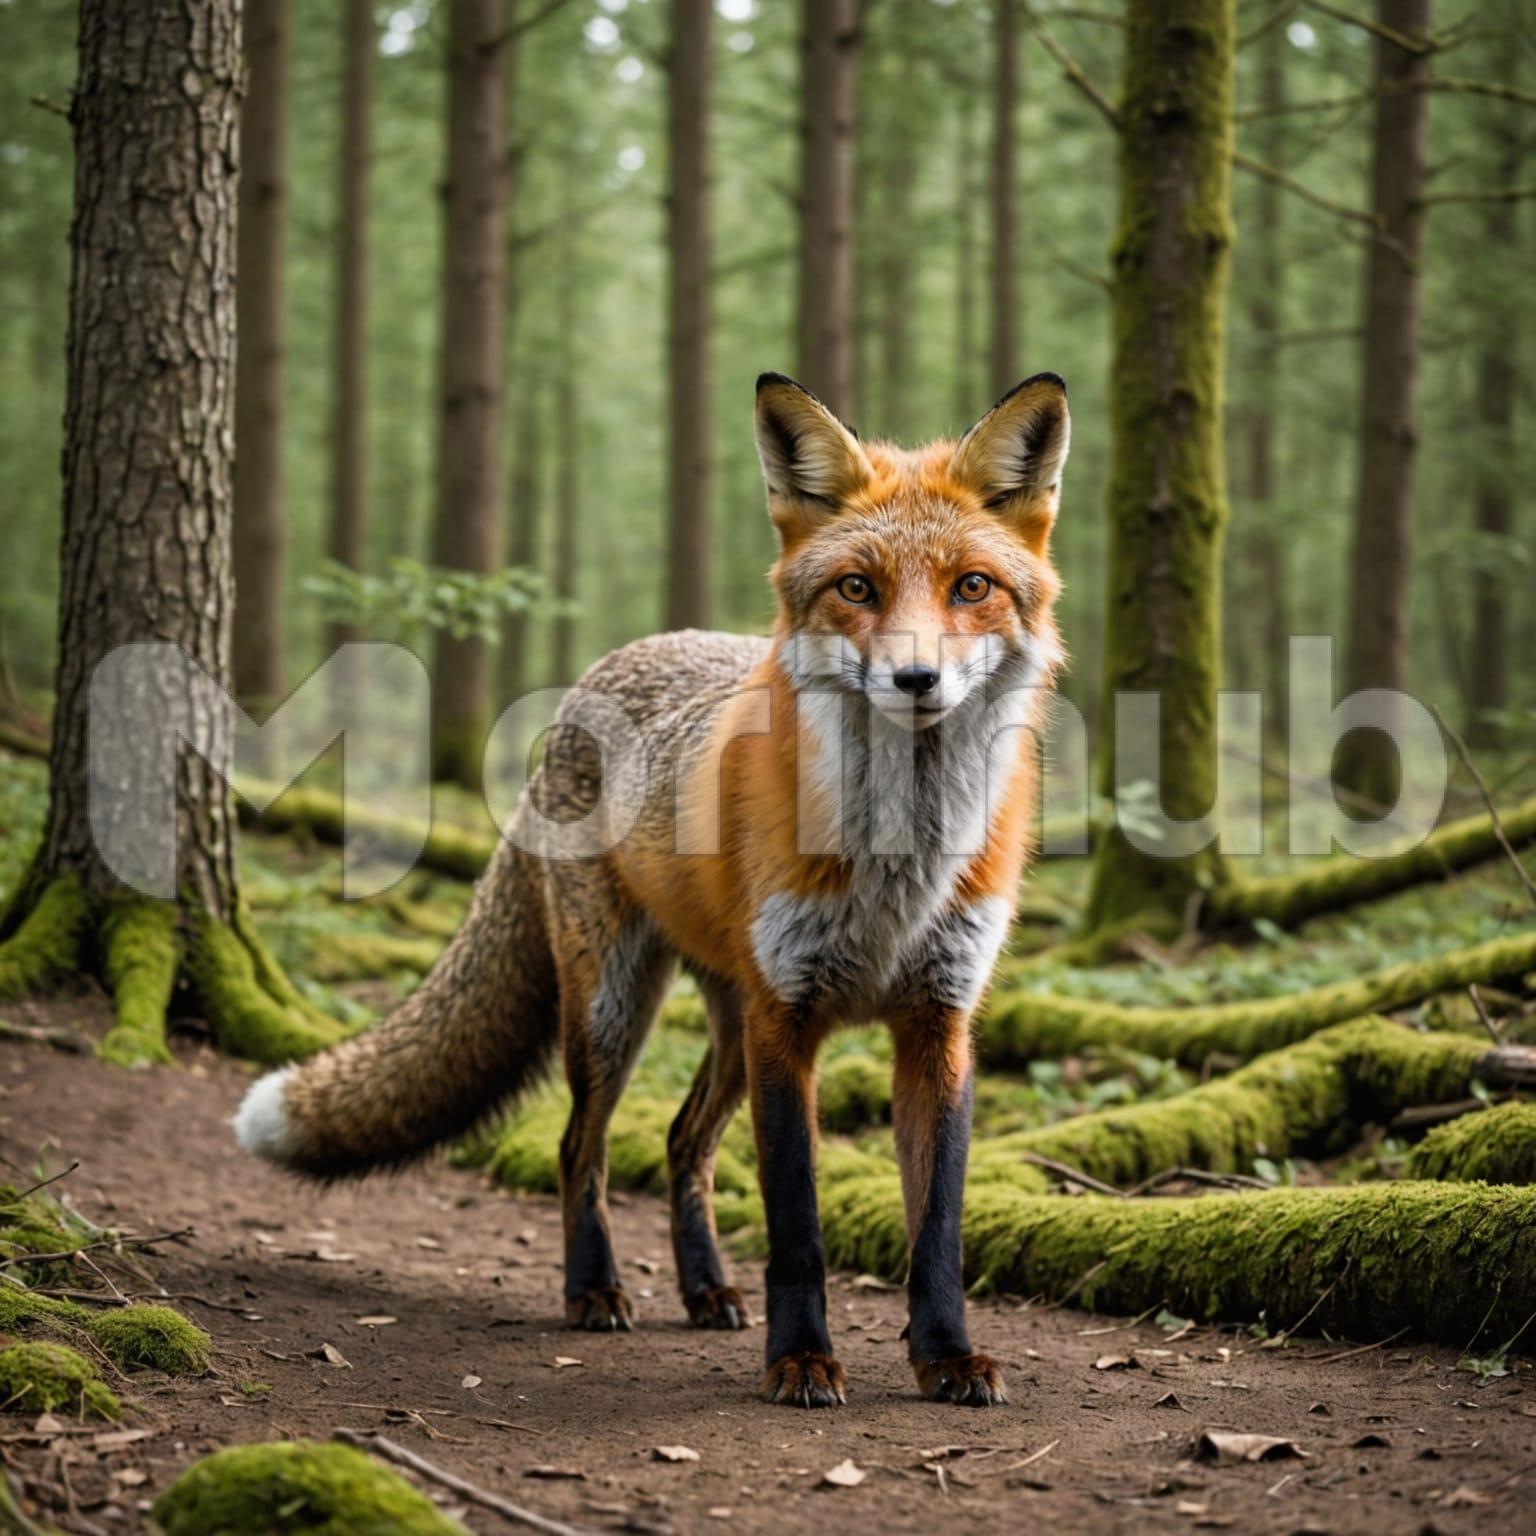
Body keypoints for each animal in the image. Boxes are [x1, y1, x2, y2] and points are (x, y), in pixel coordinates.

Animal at [235, 370, 1070, 1410]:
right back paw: (594, 1290)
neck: (898, 864)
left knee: (681, 1143)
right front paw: (801, 1360)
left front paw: (946, 1356)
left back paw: (705, 1288)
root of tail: (593, 675)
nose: (917, 679)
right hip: (615, 1010)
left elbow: (939, 1230)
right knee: (578, 1148)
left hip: (726, 1021)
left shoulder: (937, 1023)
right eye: (857, 588)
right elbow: (798, 1227)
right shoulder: (787, 1020)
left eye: (971, 587)